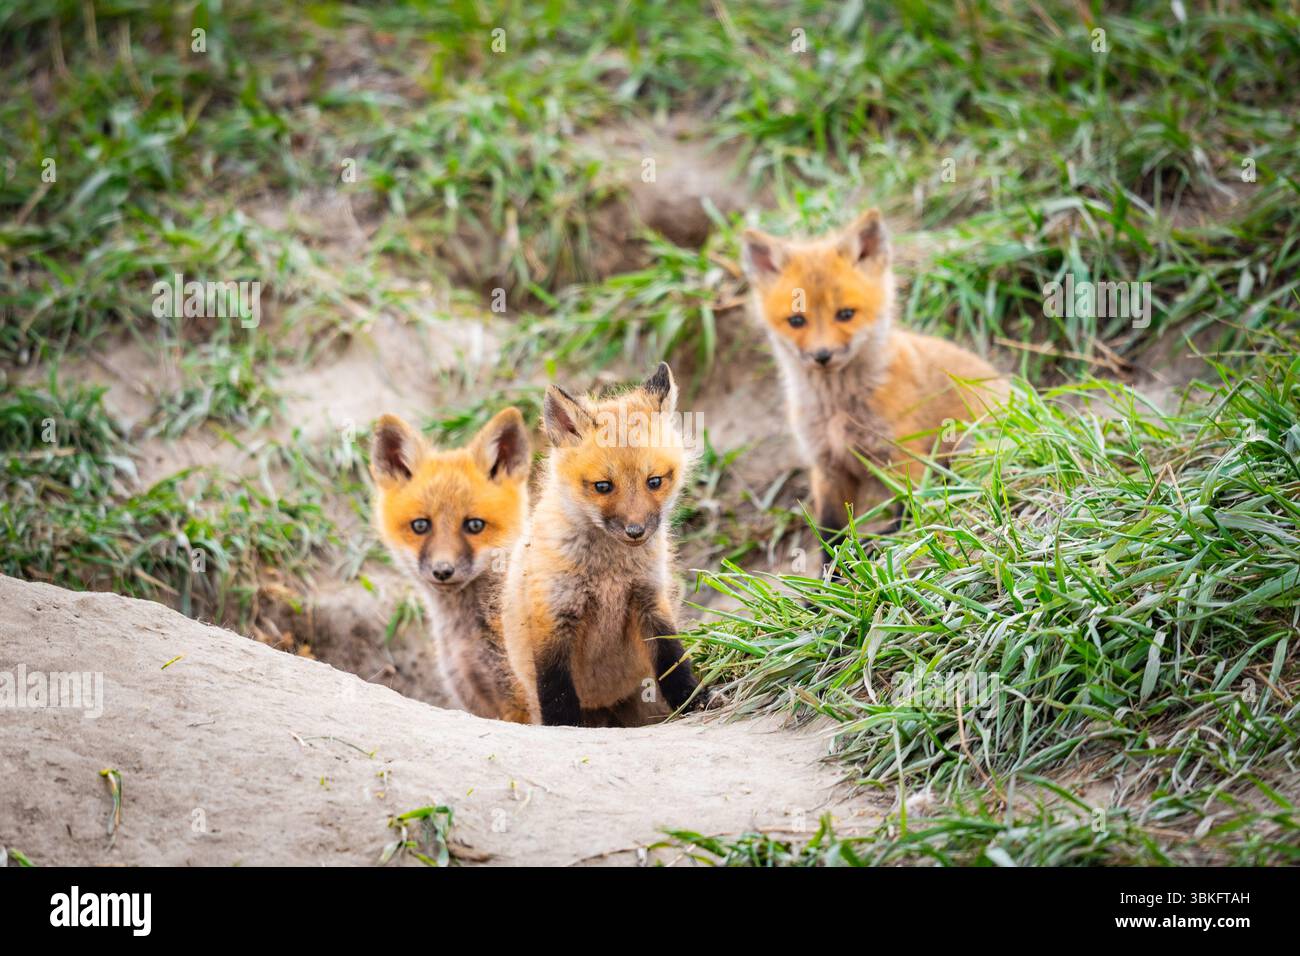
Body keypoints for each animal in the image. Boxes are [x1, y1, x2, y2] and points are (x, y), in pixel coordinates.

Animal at [502, 363, 708, 727]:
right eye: (603, 486)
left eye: (654, 481)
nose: (636, 531)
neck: (609, 574)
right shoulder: (552, 617)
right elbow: (556, 692)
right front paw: (564, 728)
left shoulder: (649, 600)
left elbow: (673, 661)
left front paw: (693, 700)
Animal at [741, 208, 1008, 553]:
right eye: (796, 320)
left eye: (846, 314)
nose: (822, 355)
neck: (838, 410)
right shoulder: (827, 466)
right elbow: (830, 531)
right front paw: (835, 566)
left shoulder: (903, 453)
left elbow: (910, 511)